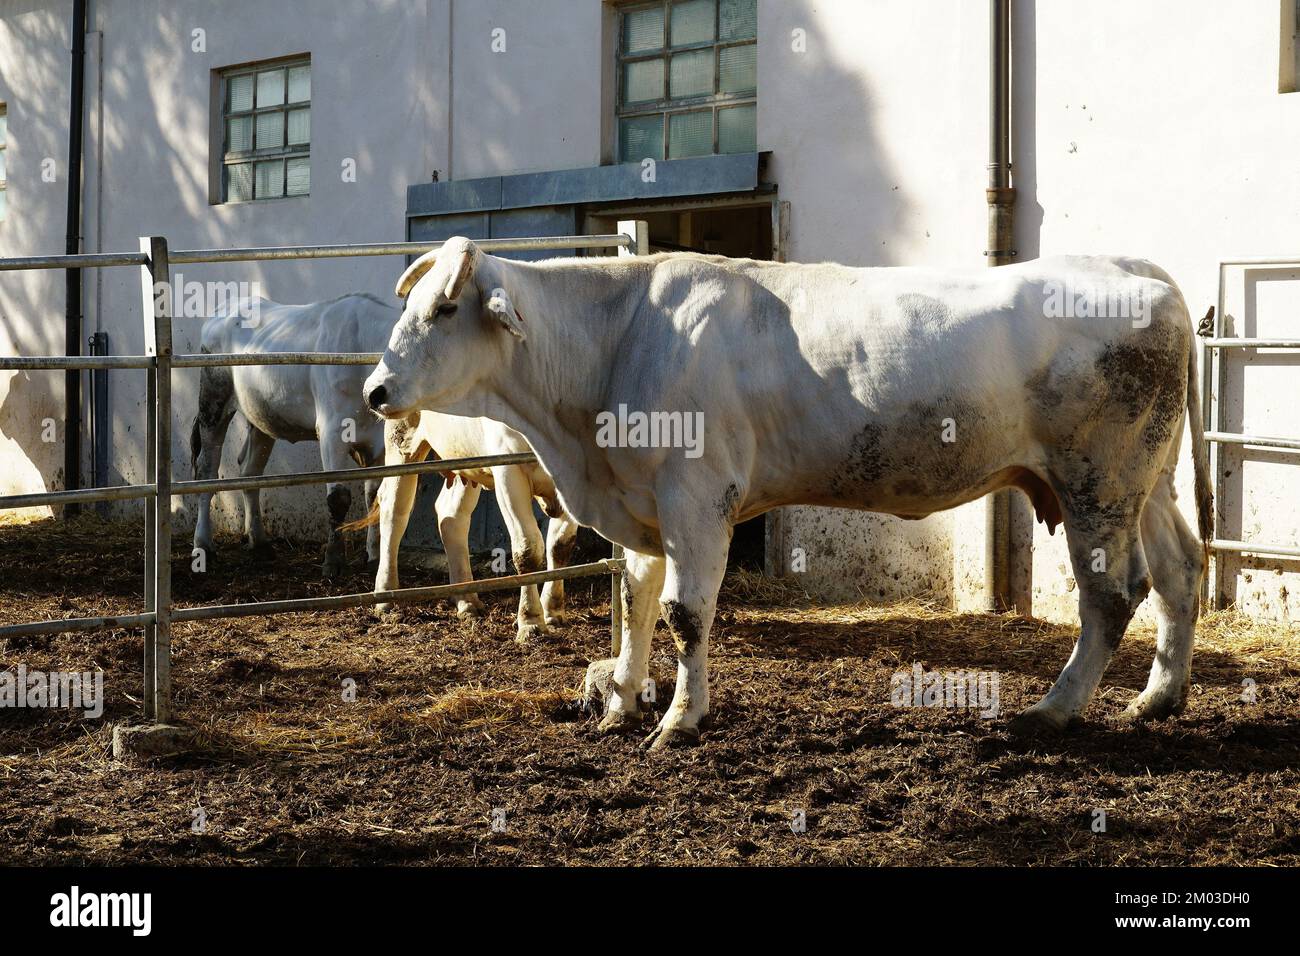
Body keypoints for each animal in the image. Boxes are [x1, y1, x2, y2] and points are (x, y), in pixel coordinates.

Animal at [362, 238, 1212, 749]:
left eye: (443, 308)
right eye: (408, 305)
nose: (374, 390)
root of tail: (1137, 270)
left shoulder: (697, 496)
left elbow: (685, 613)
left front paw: (680, 720)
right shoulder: (640, 505)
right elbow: (637, 601)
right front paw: (620, 701)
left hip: (1099, 482)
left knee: (1113, 594)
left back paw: (1056, 707)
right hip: (1150, 480)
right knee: (1181, 570)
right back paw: (1157, 699)